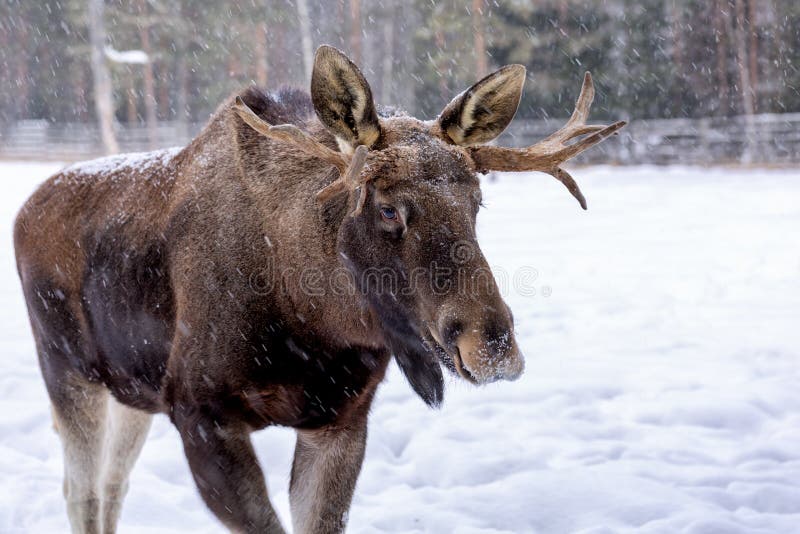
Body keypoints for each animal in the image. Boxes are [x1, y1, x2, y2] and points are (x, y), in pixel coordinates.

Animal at [14, 45, 624, 534]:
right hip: (67, 372)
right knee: (82, 492)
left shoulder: (341, 420)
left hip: (131, 392)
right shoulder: (199, 413)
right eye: (387, 209)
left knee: (111, 488)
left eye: (477, 202)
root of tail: (24, 210)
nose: (492, 345)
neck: (310, 320)